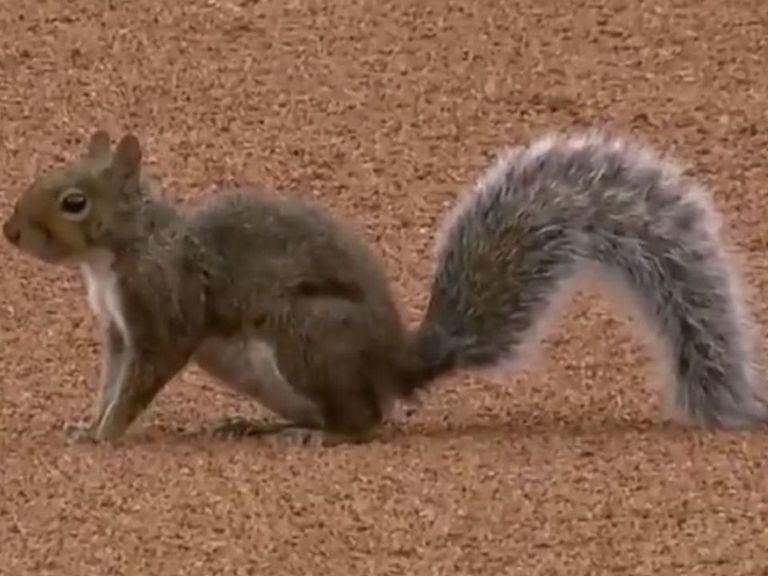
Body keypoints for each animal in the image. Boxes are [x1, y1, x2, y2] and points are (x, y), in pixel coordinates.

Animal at [3, 128, 766, 447]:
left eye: (74, 201)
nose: (10, 231)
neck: (123, 248)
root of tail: (395, 363)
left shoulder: (164, 312)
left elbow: (141, 381)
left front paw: (106, 435)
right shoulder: (116, 329)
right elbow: (110, 379)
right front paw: (86, 423)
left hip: (304, 337)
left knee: (363, 422)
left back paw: (311, 437)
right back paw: (265, 423)